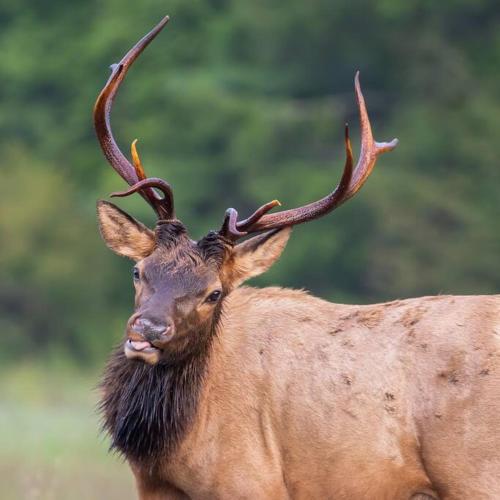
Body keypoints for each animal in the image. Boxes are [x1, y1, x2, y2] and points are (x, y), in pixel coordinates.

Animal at [94, 16, 500, 500]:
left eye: (215, 293)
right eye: (138, 271)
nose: (148, 330)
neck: (169, 449)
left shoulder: (250, 480)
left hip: (474, 469)